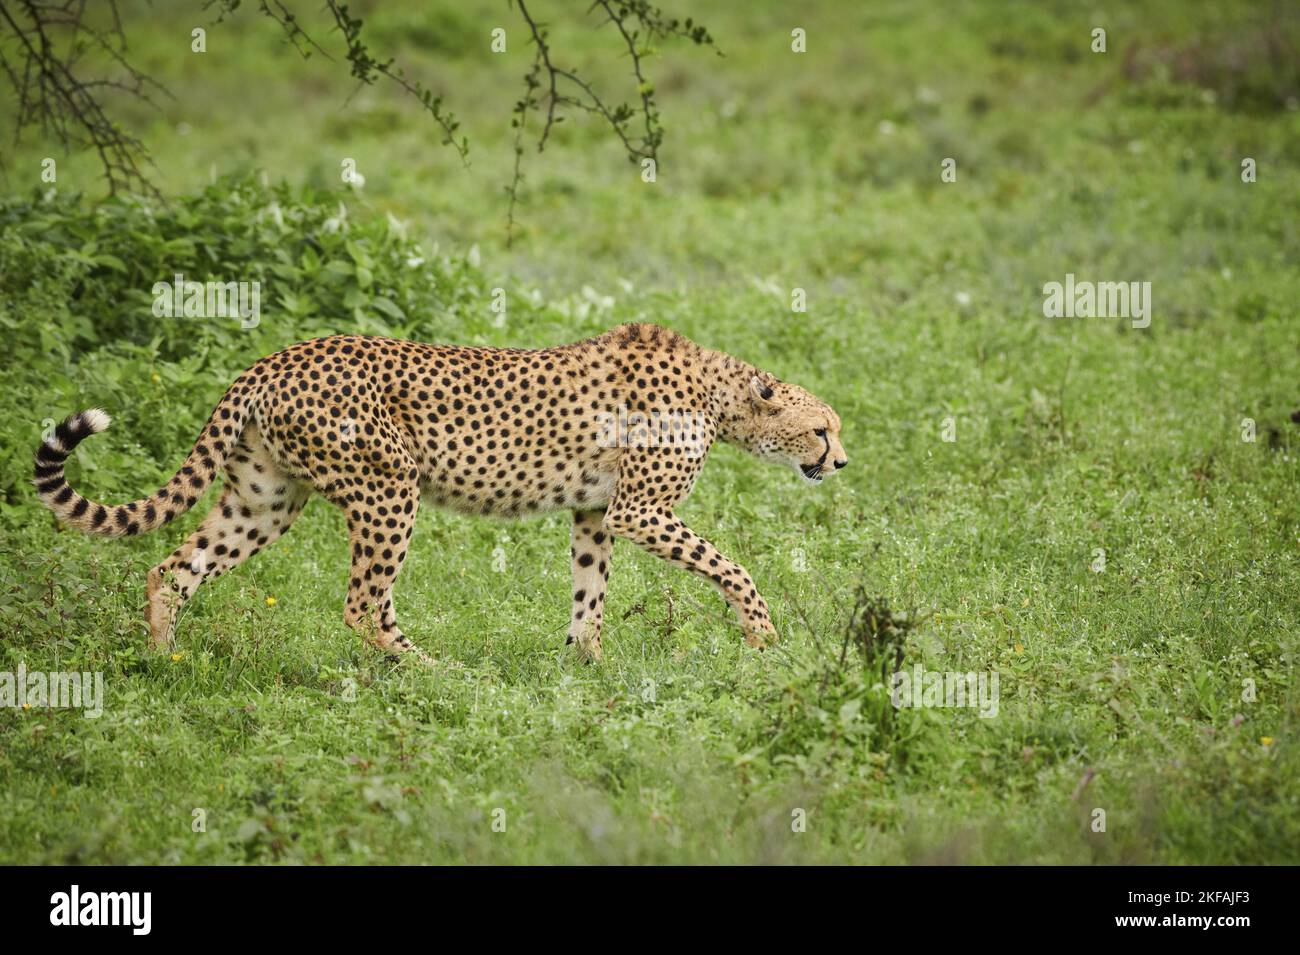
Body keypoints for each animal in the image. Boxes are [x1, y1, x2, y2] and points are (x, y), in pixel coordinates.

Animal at [34, 323, 847, 663]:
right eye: (820, 430)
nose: (839, 462)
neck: (721, 394)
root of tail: (274, 358)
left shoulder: (595, 512)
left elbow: (590, 593)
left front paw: (588, 664)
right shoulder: (638, 511)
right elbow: (732, 565)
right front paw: (763, 636)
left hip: (268, 499)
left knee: (172, 568)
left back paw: (164, 662)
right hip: (390, 489)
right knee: (363, 604)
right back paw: (432, 674)